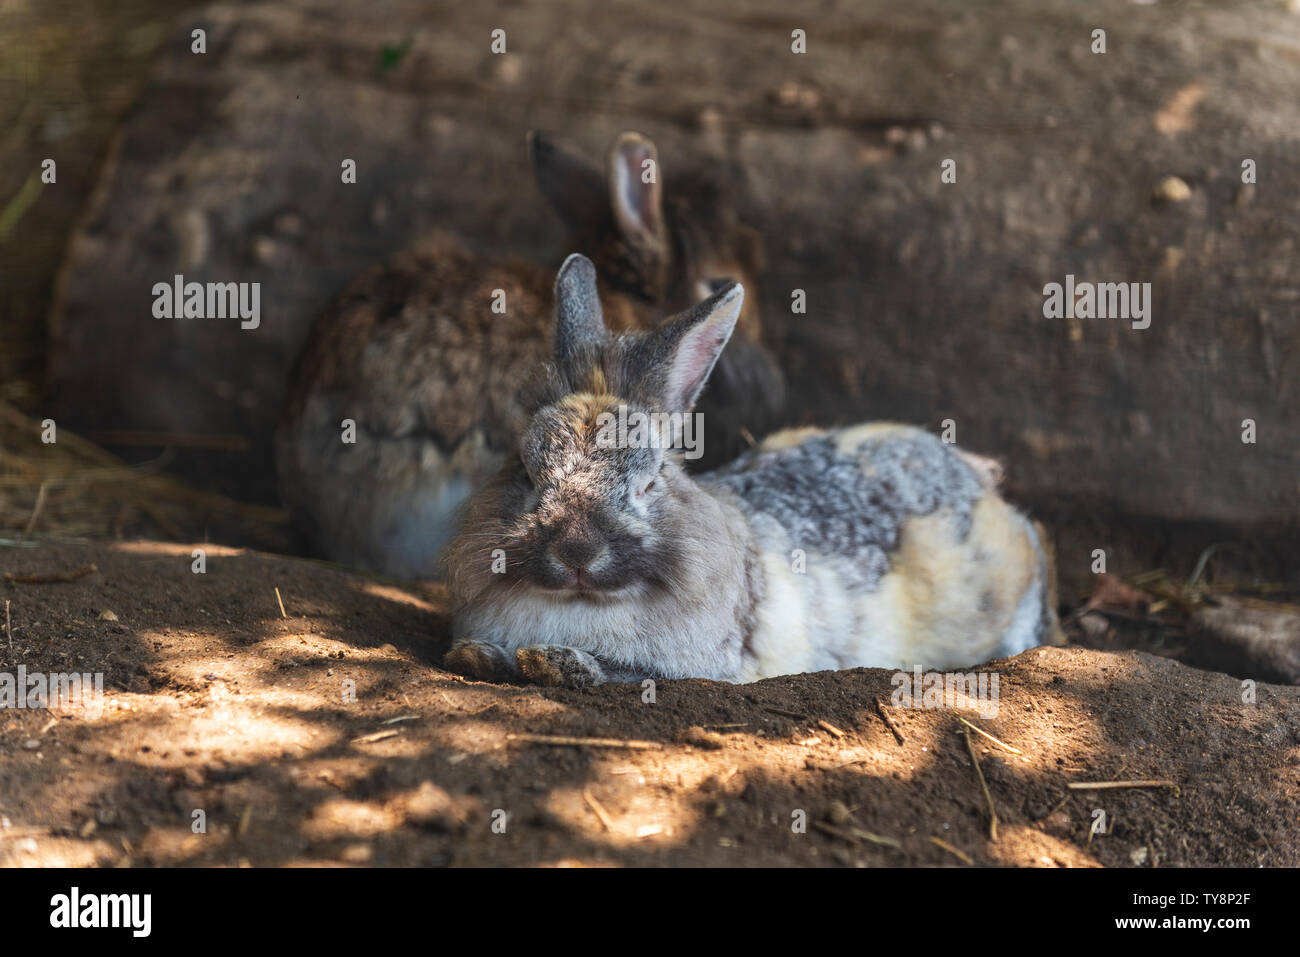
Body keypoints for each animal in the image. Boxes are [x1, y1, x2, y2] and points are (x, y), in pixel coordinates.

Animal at [443, 254, 1064, 686]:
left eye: (650, 481)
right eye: (526, 472)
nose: (576, 551)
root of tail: (979, 481)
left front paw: (557, 662)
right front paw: (478, 655)